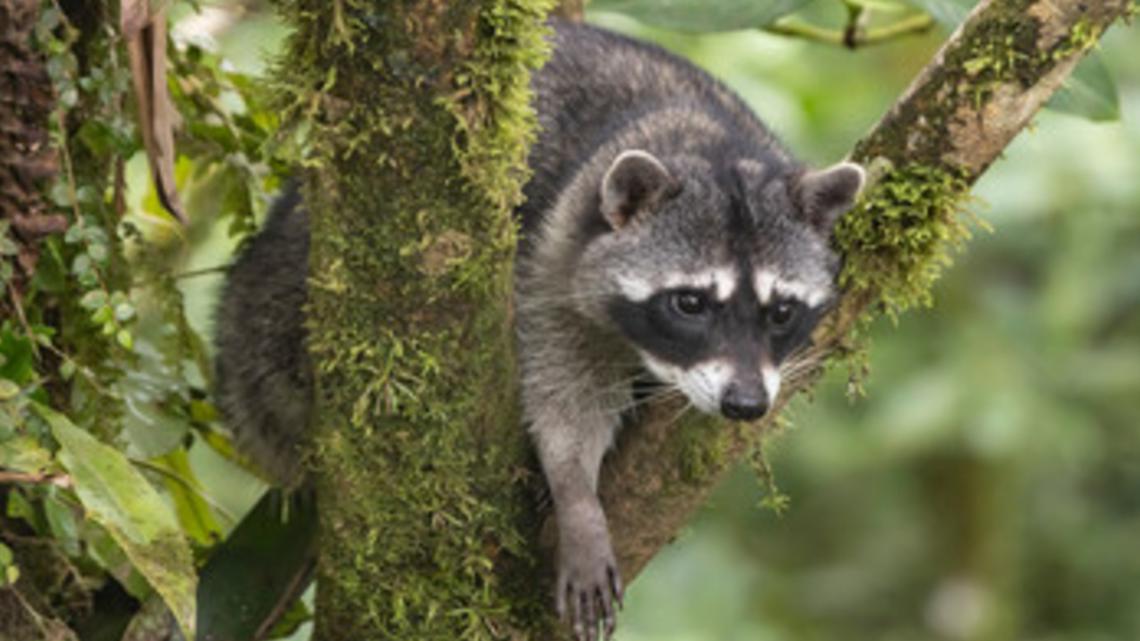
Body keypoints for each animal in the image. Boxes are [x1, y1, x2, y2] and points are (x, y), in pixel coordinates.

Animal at [214, 19, 863, 641]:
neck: (706, 139)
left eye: (781, 312)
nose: (747, 404)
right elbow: (561, 383)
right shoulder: (552, 248)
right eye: (690, 303)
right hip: (265, 332)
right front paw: (576, 495)